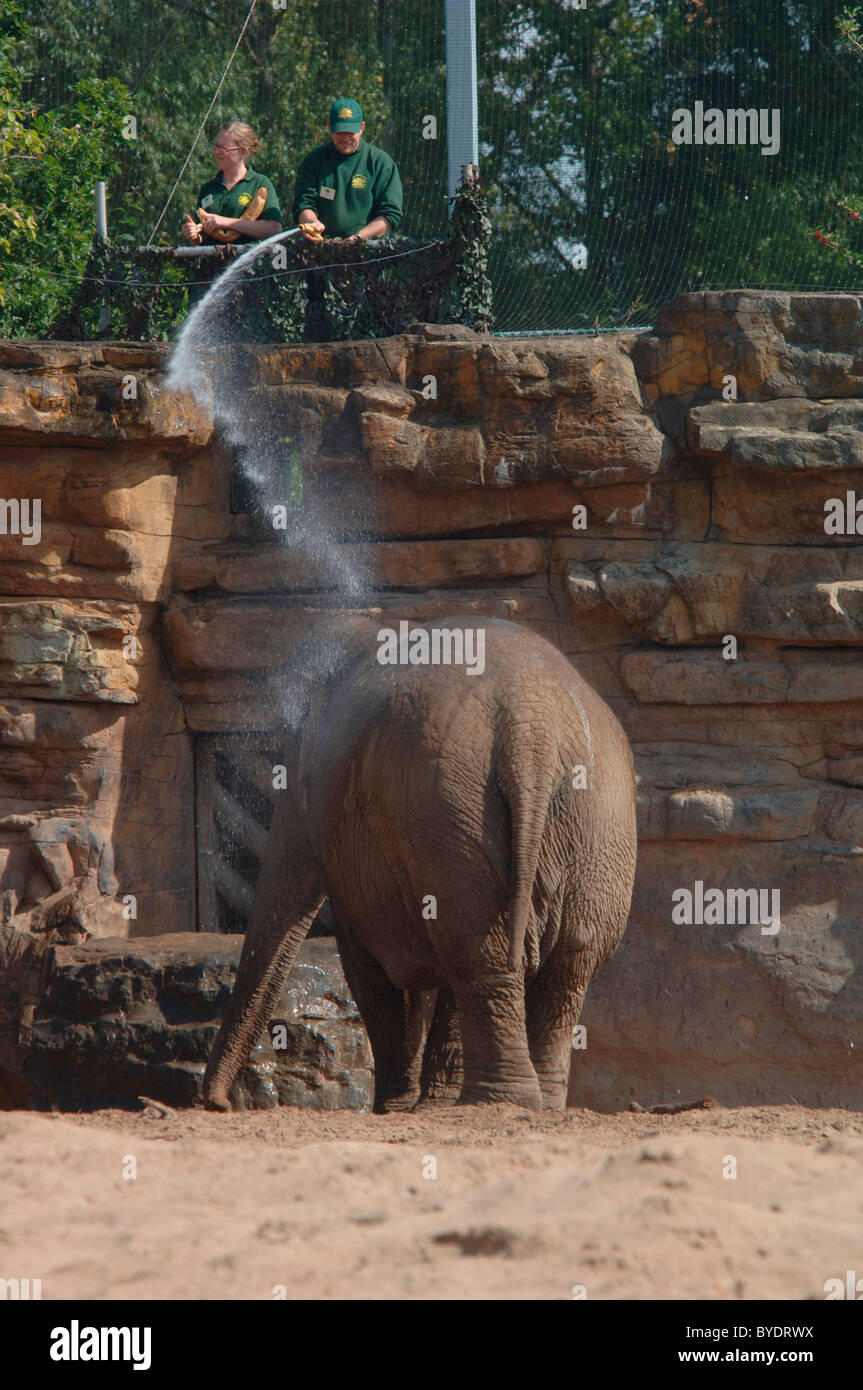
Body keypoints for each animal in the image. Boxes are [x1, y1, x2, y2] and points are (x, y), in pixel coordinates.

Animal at [203, 614, 637, 1113]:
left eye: (294, 783)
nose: (219, 1104)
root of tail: (533, 734)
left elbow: (370, 970)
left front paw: (396, 1108)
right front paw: (428, 1104)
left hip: (458, 811)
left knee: (485, 956)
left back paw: (498, 1102)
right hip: (588, 826)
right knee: (560, 964)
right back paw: (532, 1103)